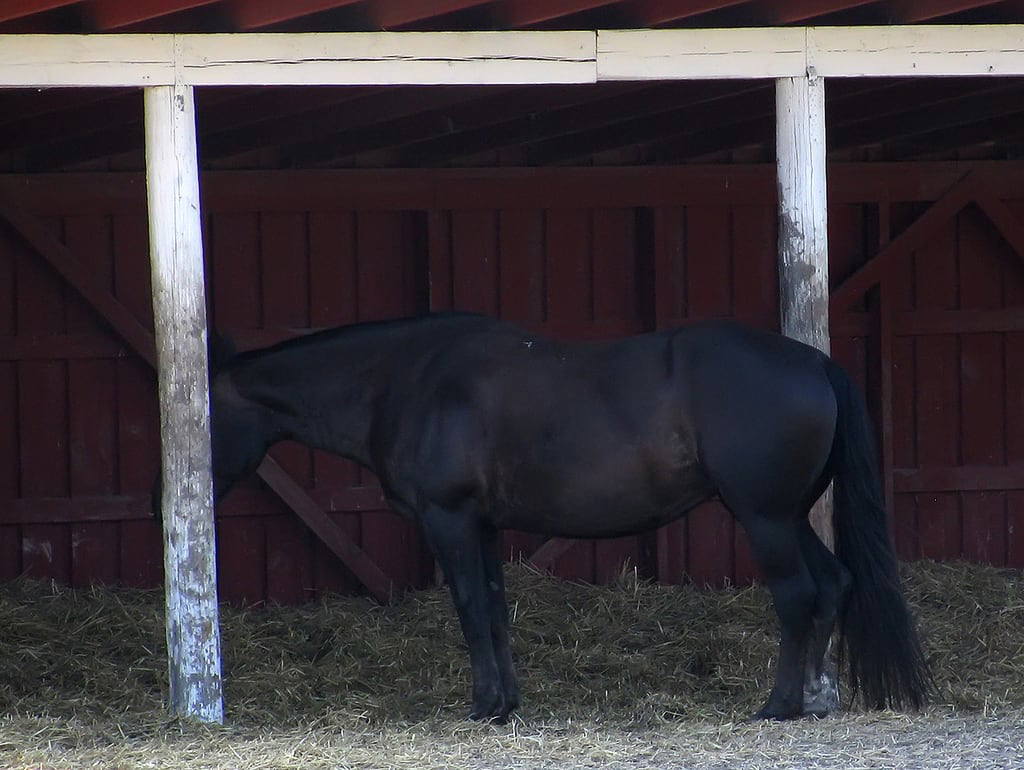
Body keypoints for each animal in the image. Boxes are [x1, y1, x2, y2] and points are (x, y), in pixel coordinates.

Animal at [190, 312, 931, 722]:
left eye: (201, 415)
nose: (182, 491)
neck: (406, 380)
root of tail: (816, 363)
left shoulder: (448, 520)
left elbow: (469, 609)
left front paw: (483, 706)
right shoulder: (482, 526)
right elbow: (494, 608)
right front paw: (506, 703)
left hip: (764, 517)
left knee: (799, 595)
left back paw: (779, 706)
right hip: (788, 515)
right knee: (834, 585)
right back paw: (815, 698)